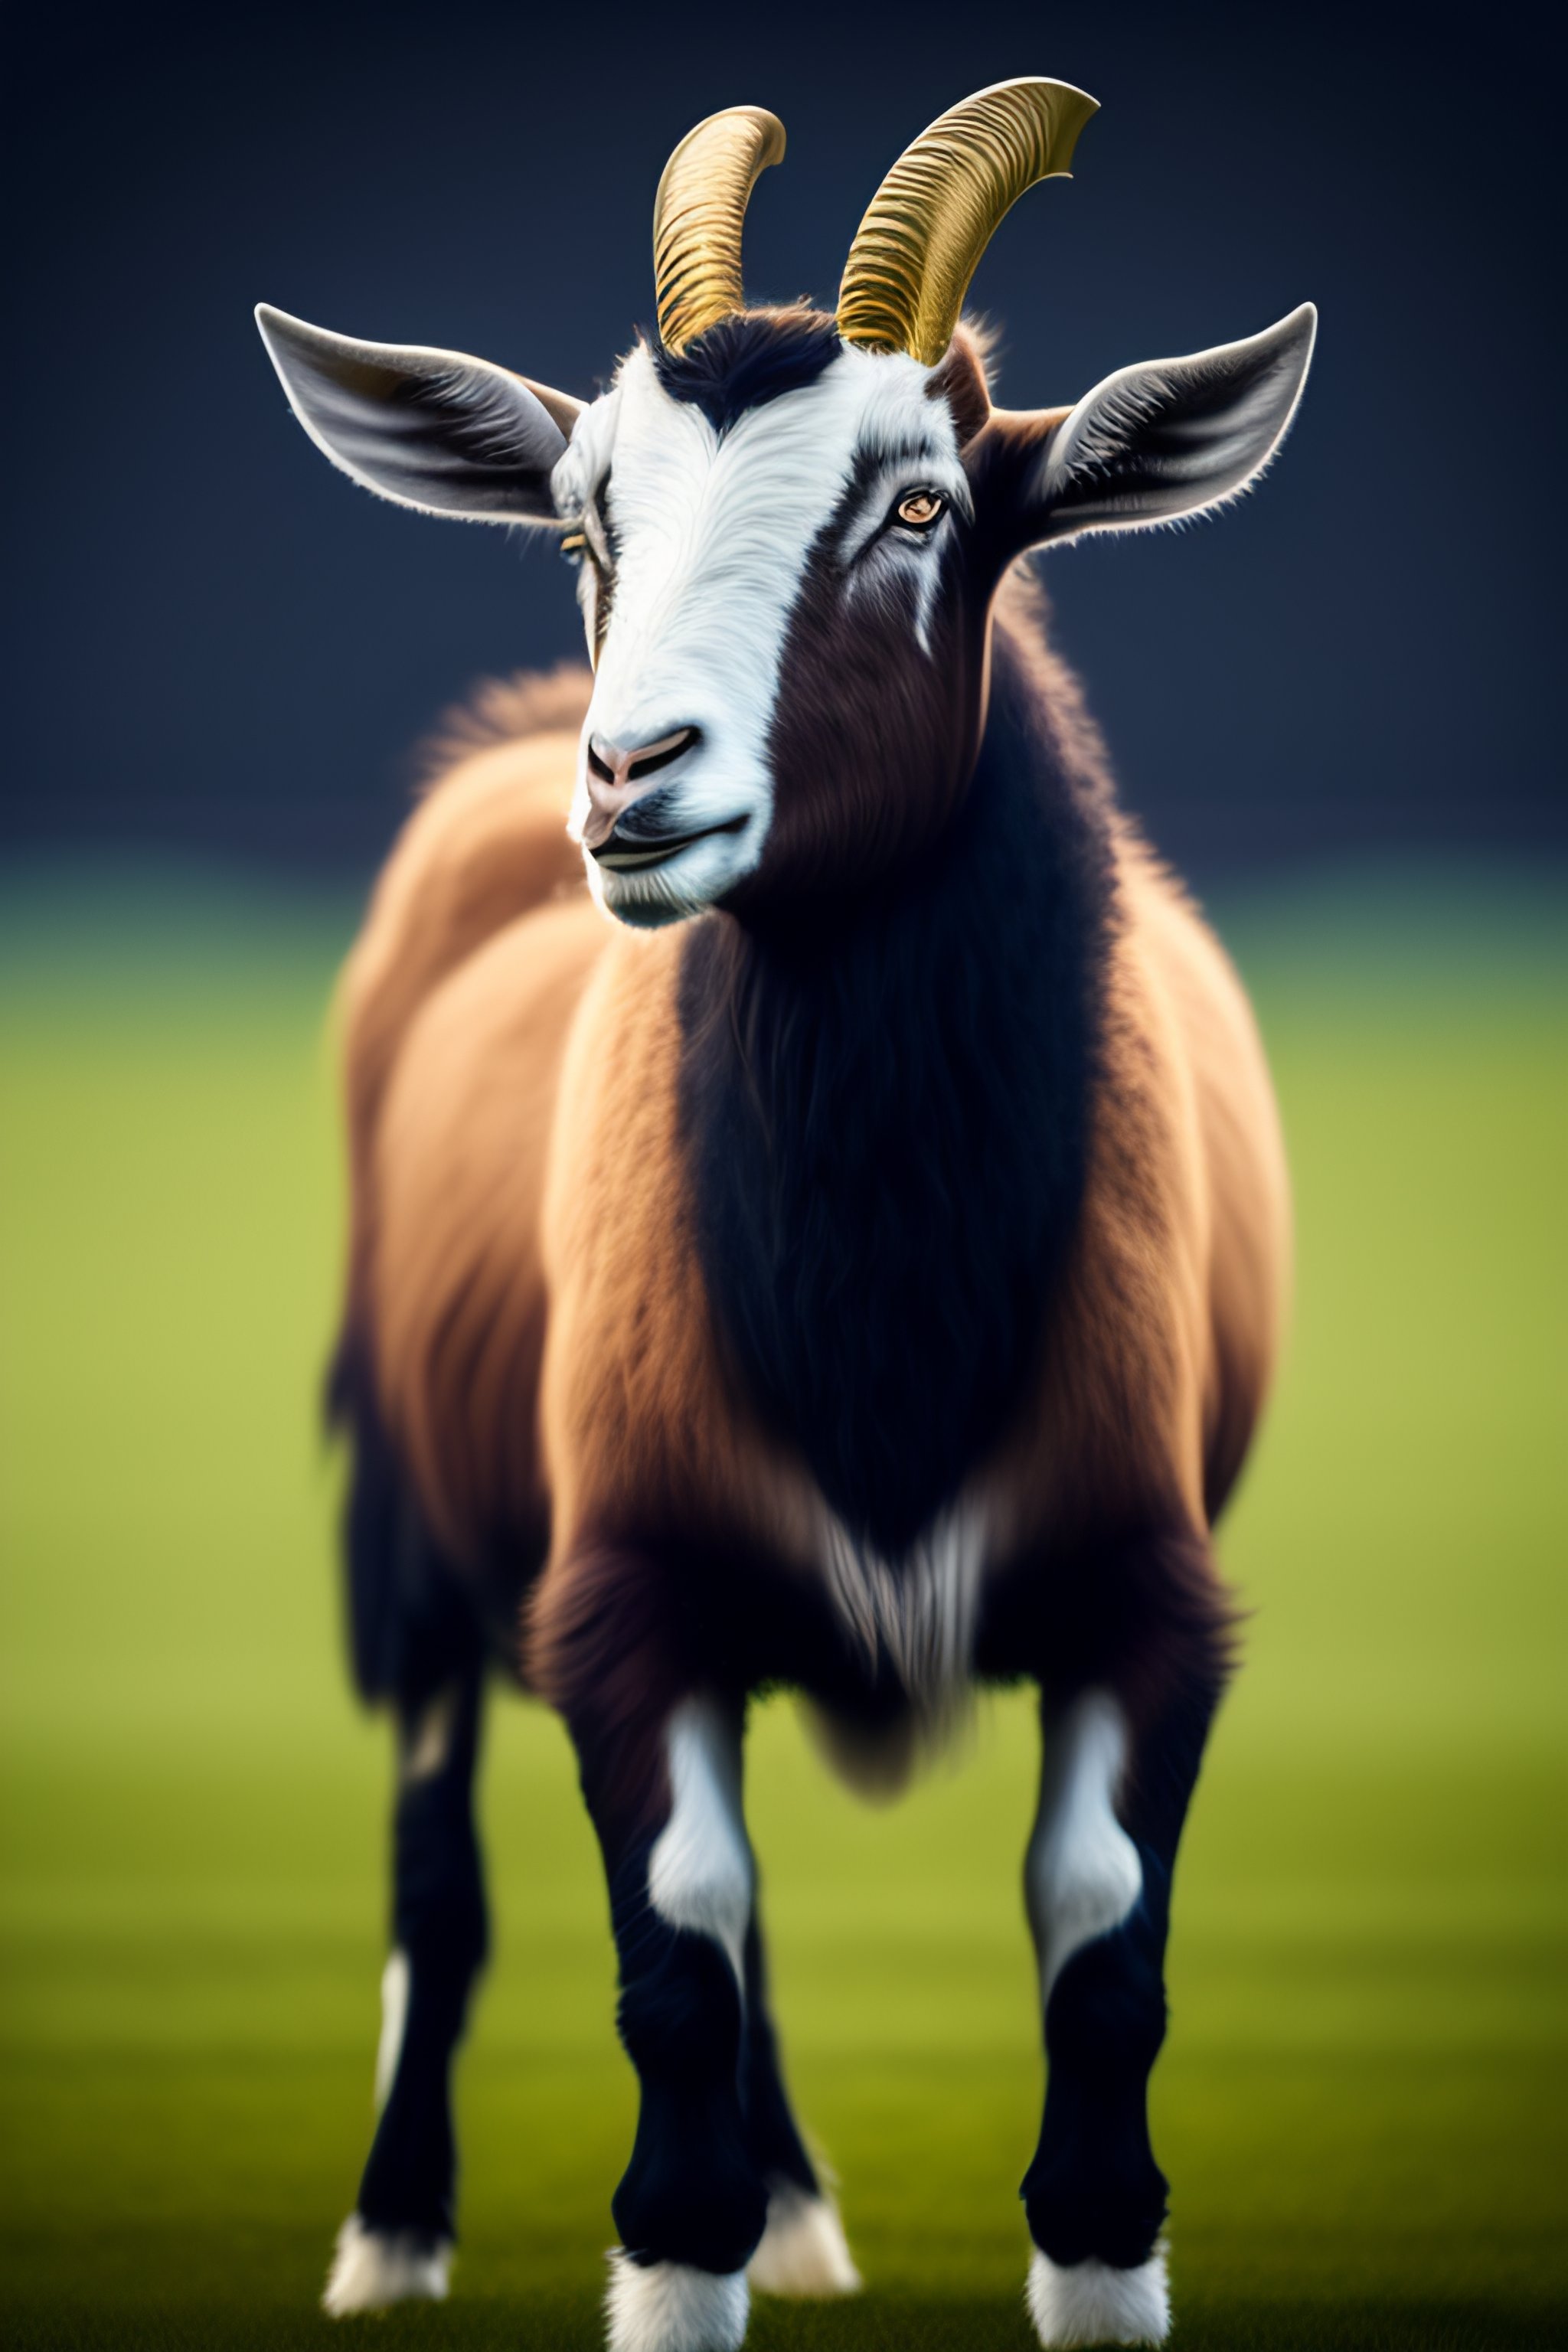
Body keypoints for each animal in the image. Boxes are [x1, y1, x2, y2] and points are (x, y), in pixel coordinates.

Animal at [257, 79, 1309, 2352]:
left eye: (921, 505)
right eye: (586, 521)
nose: (632, 777)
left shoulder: (1150, 1596)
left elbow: (1095, 1947)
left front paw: (1085, 2240)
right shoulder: (621, 1597)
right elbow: (675, 1954)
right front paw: (685, 2236)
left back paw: (809, 2205)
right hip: (420, 1541)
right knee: (436, 1866)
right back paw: (389, 2234)